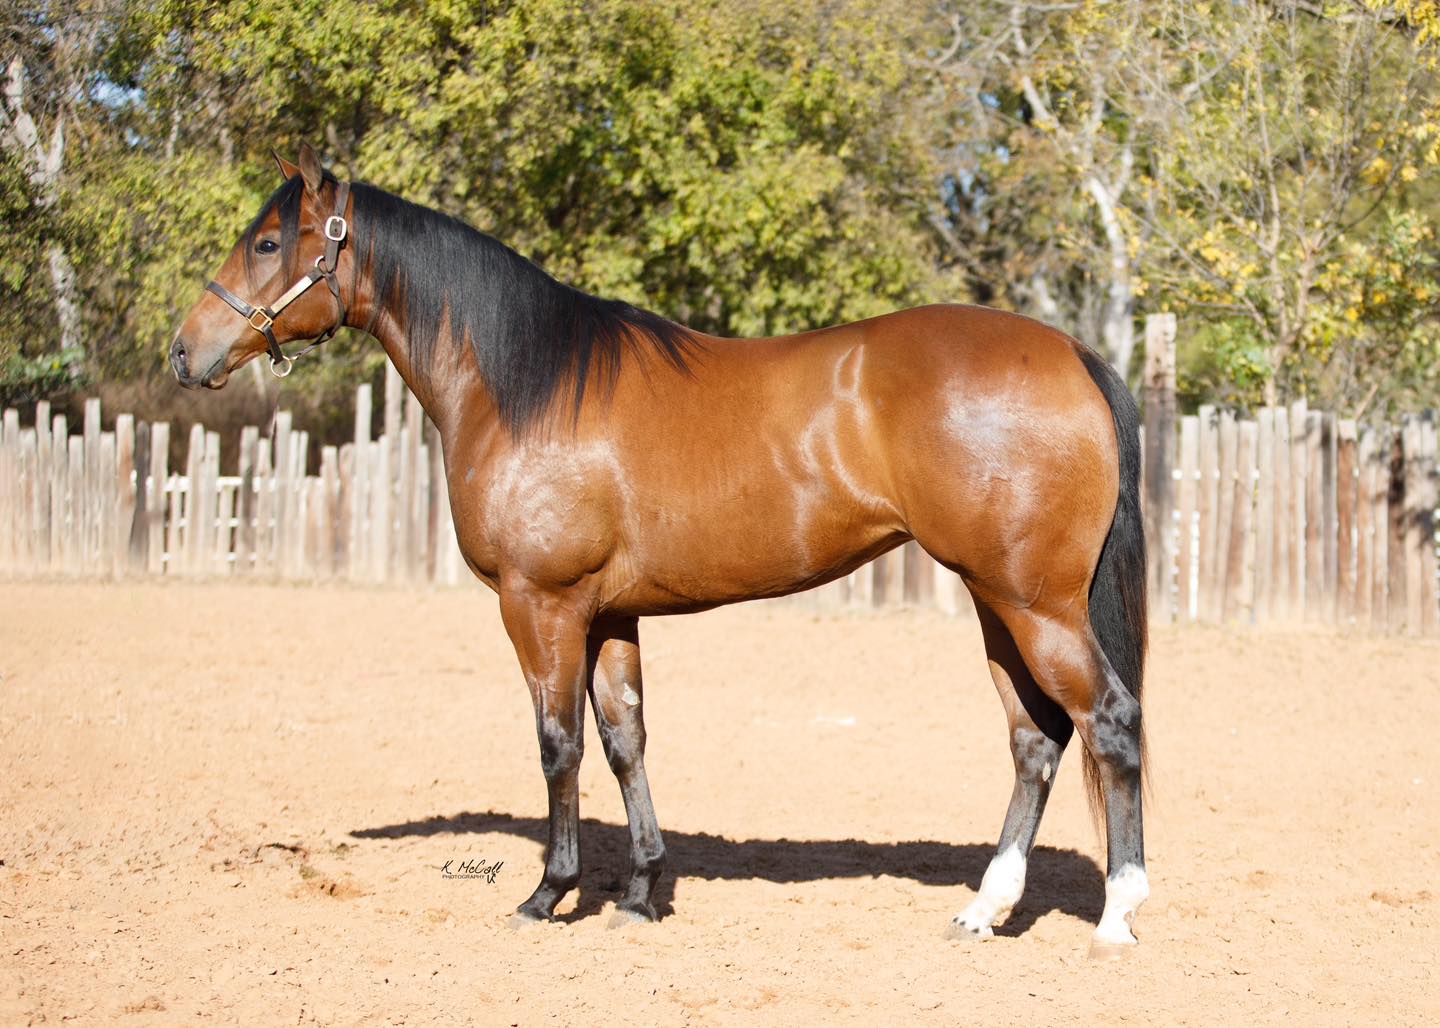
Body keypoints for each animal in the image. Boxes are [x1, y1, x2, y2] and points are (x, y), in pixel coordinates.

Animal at [171, 143, 1149, 957]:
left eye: (267, 242)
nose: (186, 353)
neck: (528, 386)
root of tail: (1071, 353)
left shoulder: (540, 604)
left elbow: (558, 744)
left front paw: (549, 894)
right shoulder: (609, 614)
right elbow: (625, 741)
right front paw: (642, 892)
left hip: (1036, 604)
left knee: (1109, 720)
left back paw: (1117, 915)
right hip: (998, 603)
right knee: (1035, 741)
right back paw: (987, 909)